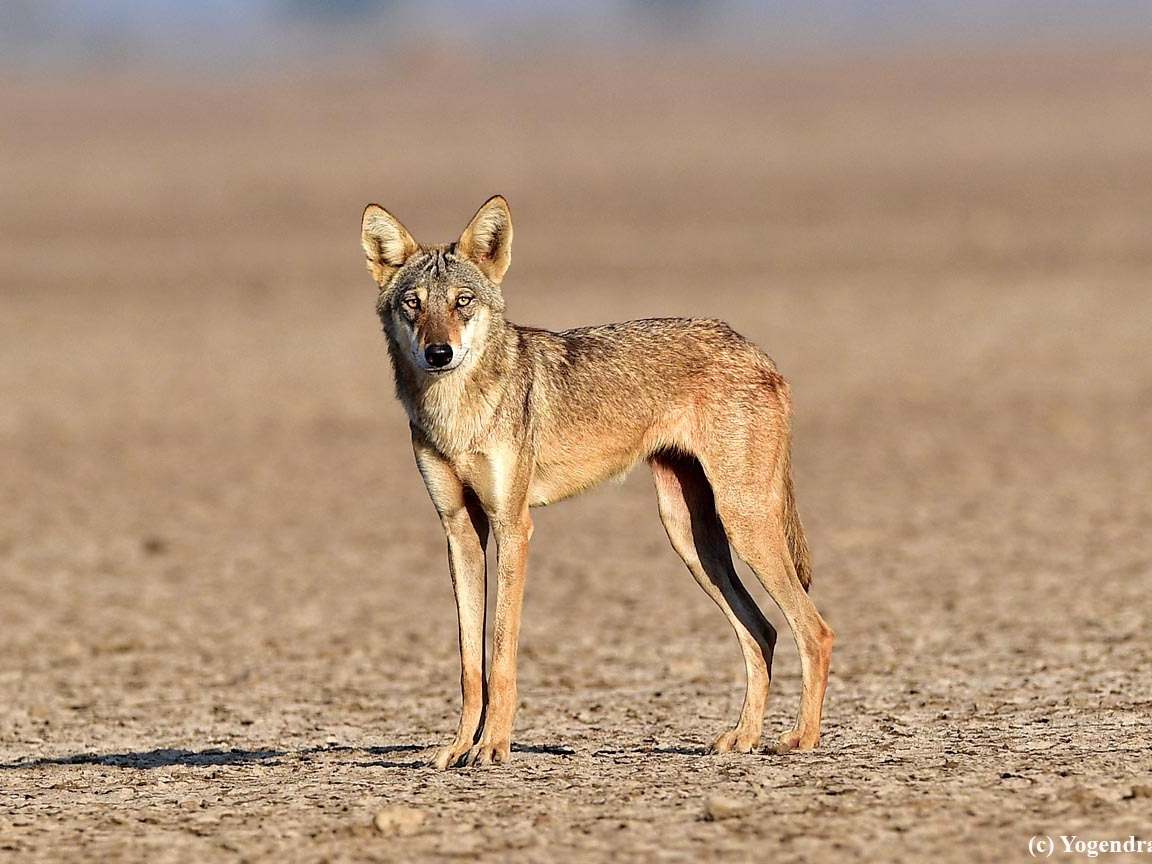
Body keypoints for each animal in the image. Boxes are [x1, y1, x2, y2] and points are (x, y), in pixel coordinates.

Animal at [360, 195, 834, 768]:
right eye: (414, 304)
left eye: (462, 302)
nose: (438, 353)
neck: (455, 413)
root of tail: (757, 351)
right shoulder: (459, 529)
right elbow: (471, 664)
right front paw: (457, 747)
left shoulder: (514, 526)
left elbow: (501, 654)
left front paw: (493, 746)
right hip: (691, 539)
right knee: (762, 631)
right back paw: (743, 737)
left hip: (744, 525)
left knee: (815, 631)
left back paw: (801, 738)